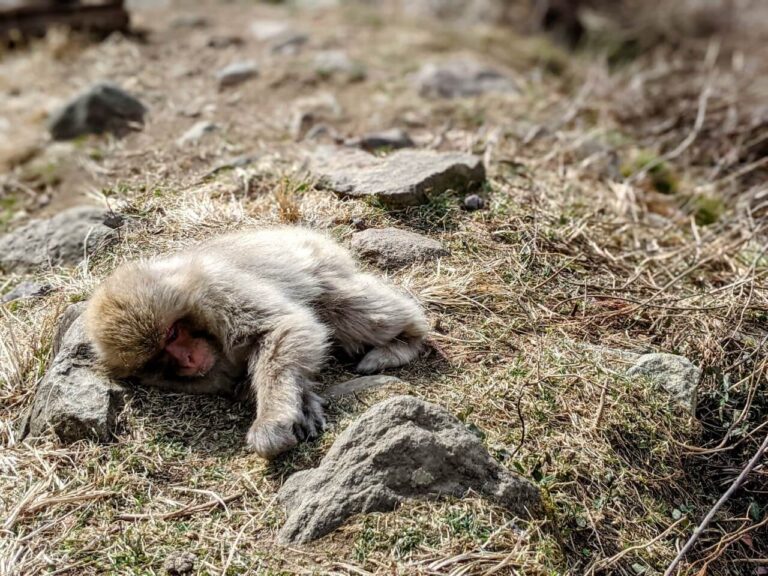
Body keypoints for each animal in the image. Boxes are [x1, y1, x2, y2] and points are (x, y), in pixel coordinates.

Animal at [84, 227, 429, 458]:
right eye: (158, 357)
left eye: (172, 334)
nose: (188, 360)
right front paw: (302, 404)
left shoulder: (216, 290)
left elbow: (283, 327)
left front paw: (271, 421)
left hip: (319, 263)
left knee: (348, 309)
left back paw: (406, 339)